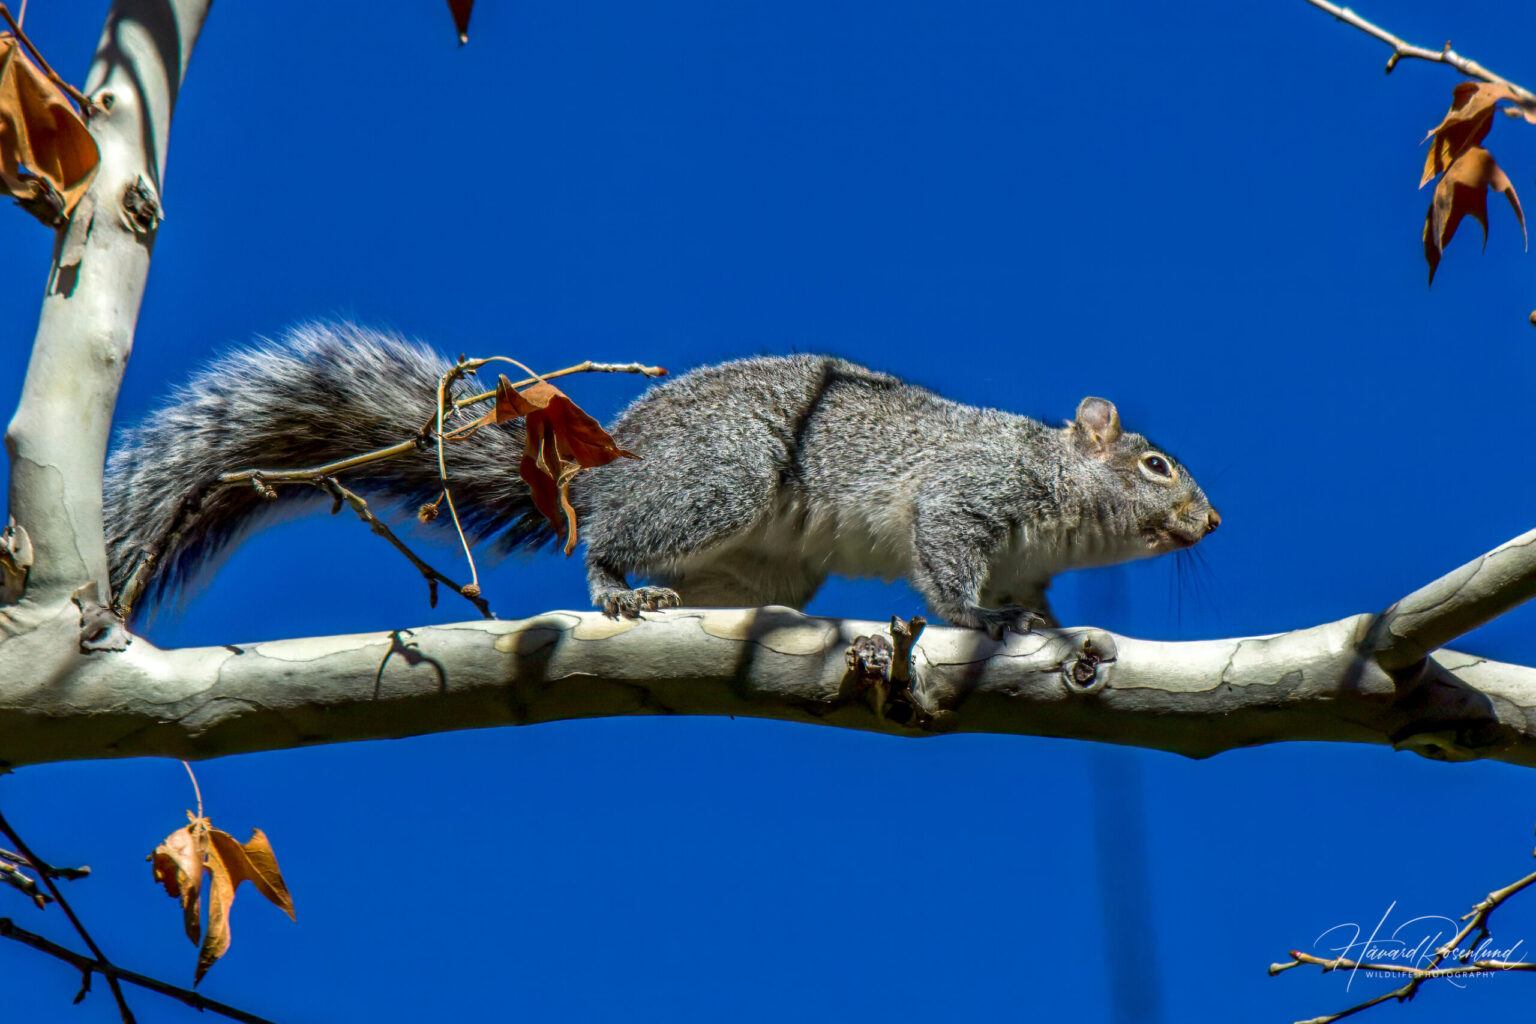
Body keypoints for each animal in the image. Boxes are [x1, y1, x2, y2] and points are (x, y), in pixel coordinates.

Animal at [104, 322, 1220, 635]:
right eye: (1155, 463)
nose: (1210, 520)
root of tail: (600, 469)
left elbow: (1036, 596)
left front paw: (1040, 625)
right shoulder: (968, 489)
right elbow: (945, 561)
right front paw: (981, 621)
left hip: (761, 561)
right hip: (717, 483)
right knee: (611, 540)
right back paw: (615, 586)